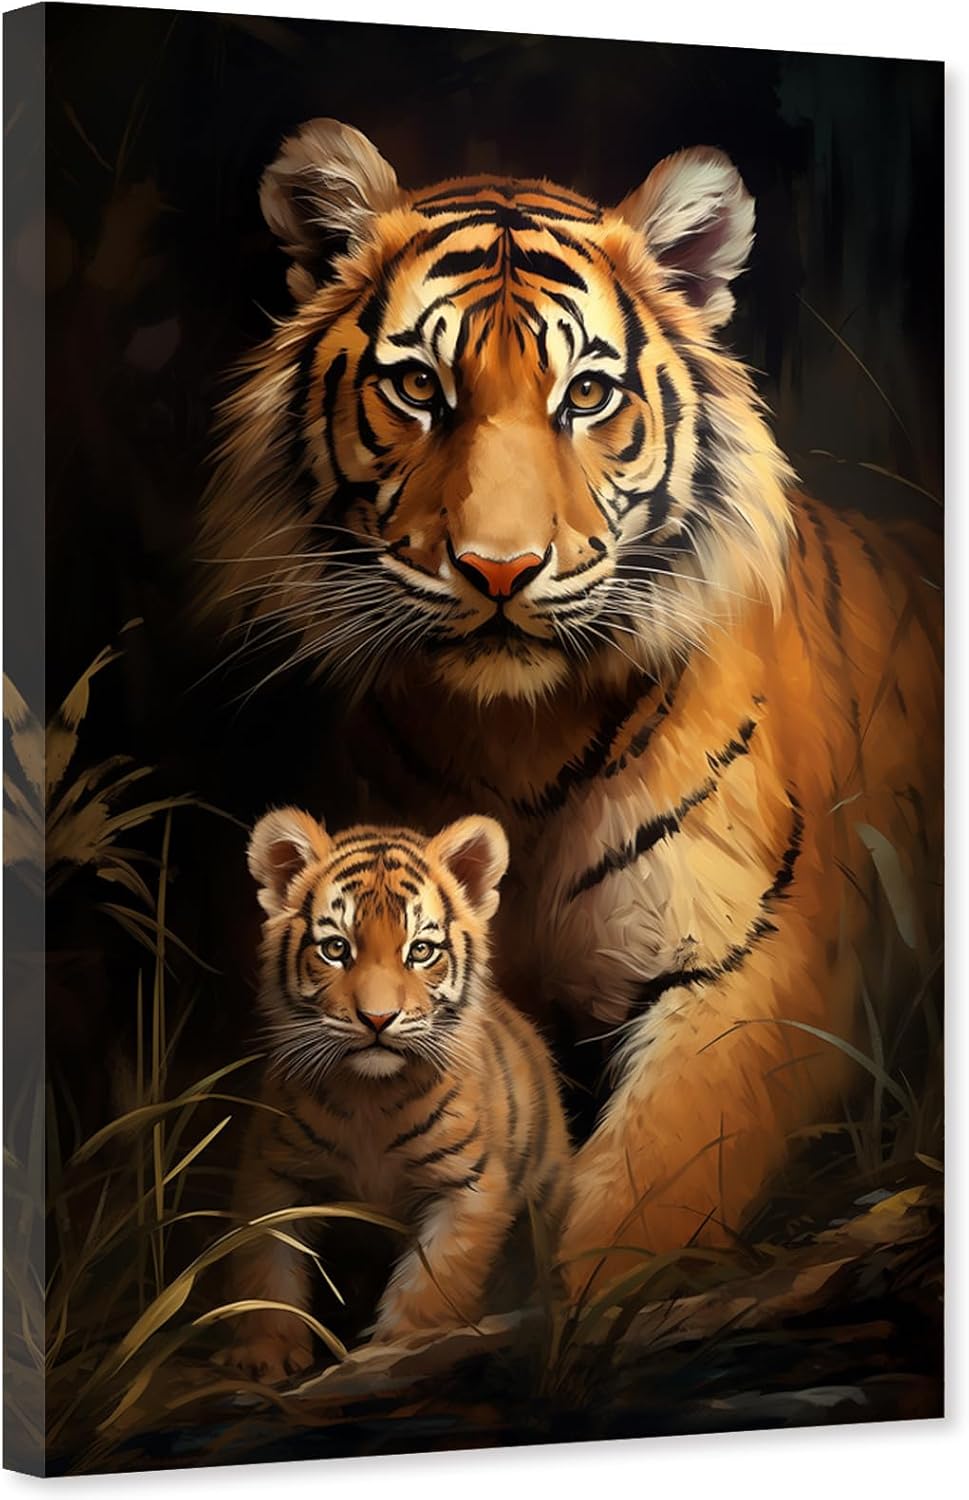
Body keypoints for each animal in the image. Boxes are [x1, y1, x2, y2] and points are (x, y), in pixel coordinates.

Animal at [197, 119, 943, 1297]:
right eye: (419, 386)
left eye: (586, 396)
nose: (500, 570)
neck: (516, 742)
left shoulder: (754, 970)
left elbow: (638, 1202)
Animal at [215, 808, 571, 1382]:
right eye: (336, 948)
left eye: (420, 950)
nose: (378, 1019)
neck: (370, 1097)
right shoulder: (273, 1173)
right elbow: (266, 1264)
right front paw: (264, 1353)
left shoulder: (467, 1186)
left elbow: (434, 1280)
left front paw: (403, 1349)